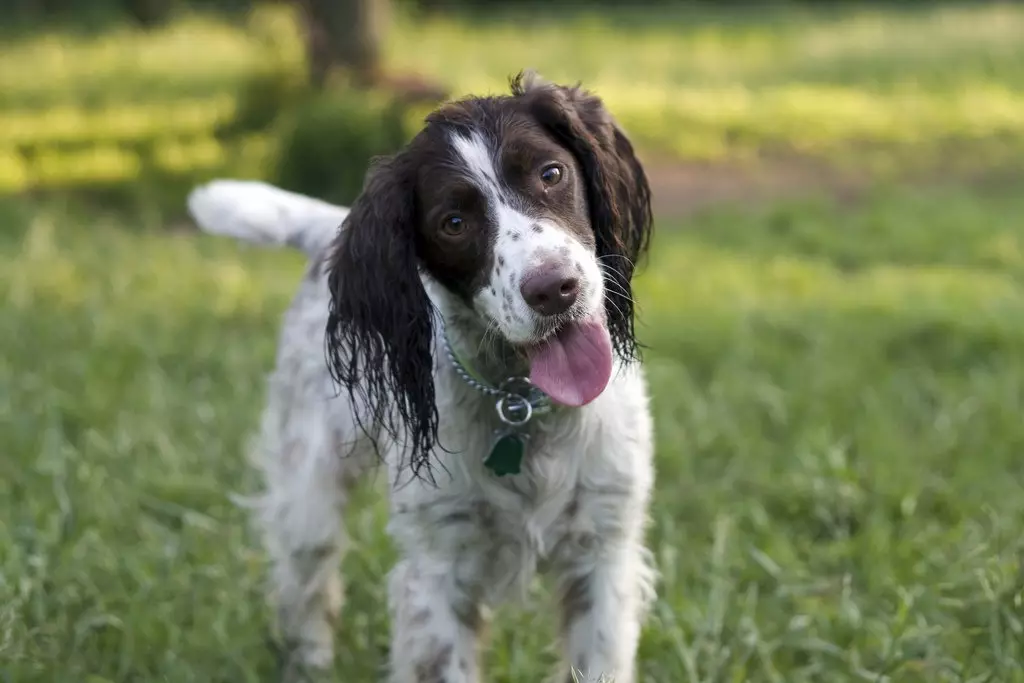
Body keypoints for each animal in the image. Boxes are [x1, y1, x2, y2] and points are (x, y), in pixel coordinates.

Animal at [189, 72, 655, 679]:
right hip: (307, 491)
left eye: (551, 173)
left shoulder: (604, 550)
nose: (554, 289)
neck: (519, 400)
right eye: (453, 224)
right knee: (305, 586)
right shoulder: (438, 567)